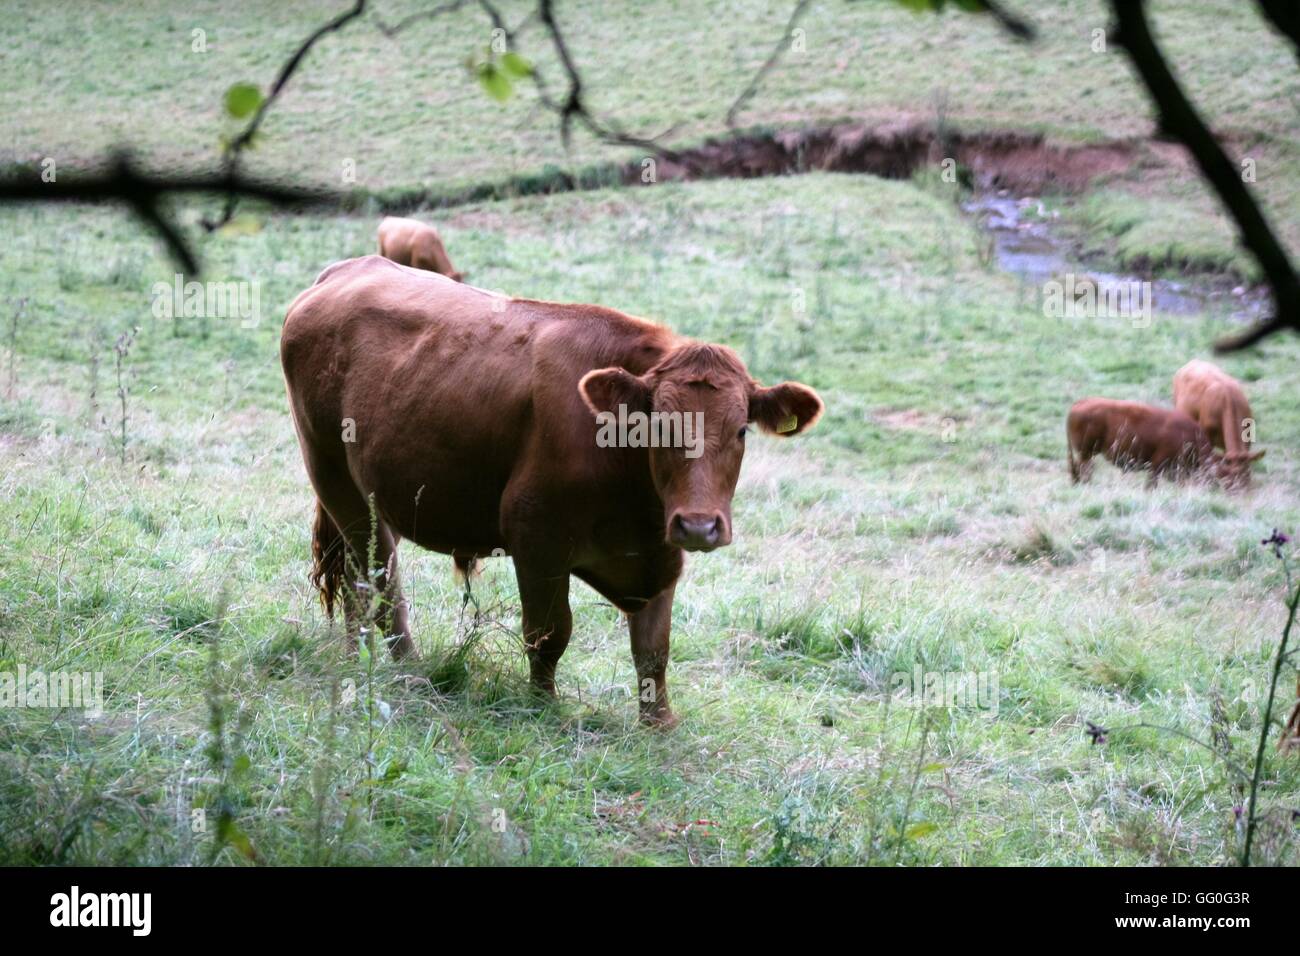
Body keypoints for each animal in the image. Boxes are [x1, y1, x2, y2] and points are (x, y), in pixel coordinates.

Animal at [280, 256, 824, 727]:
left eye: (741, 430)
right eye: (656, 427)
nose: (698, 525)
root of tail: (348, 269)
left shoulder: (662, 556)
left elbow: (653, 648)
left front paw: (659, 723)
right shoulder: (536, 536)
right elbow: (549, 633)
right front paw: (542, 706)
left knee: (360, 579)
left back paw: (357, 658)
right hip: (335, 479)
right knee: (381, 581)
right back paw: (408, 671)